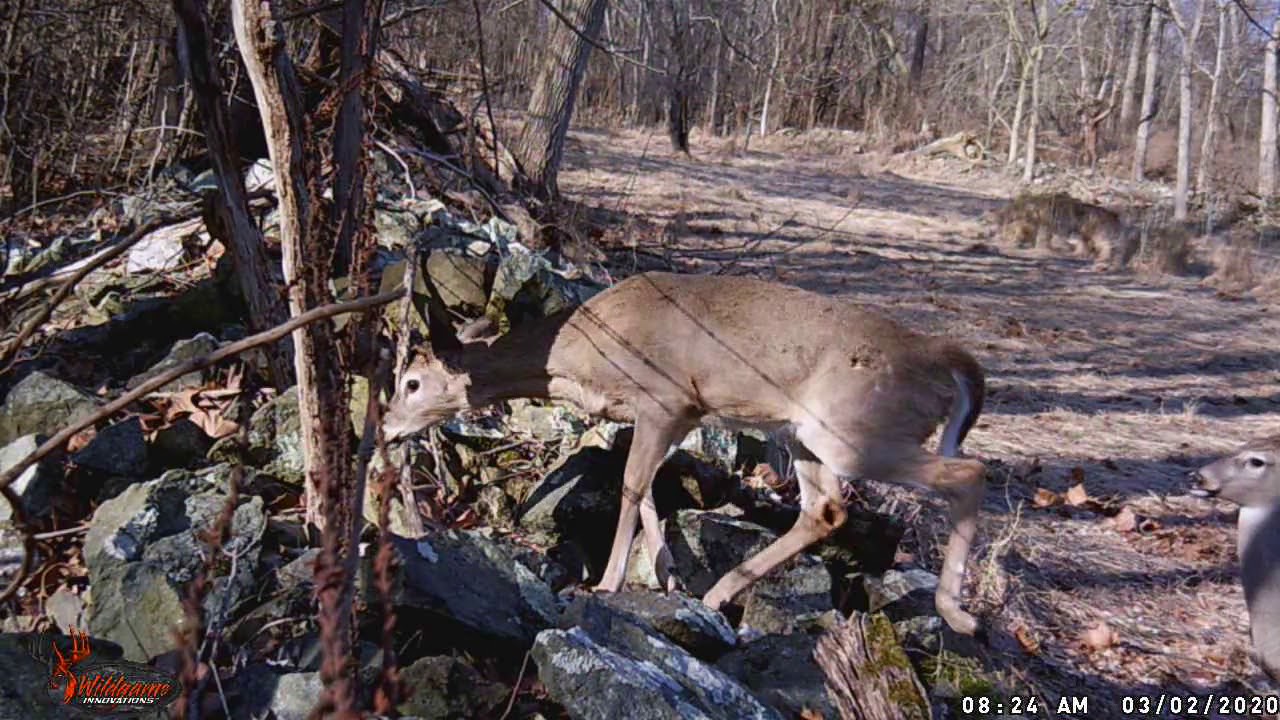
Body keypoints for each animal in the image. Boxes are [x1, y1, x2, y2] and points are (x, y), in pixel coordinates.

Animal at [382, 269, 990, 636]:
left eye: (411, 382)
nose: (386, 428)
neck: (578, 357)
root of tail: (947, 357)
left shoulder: (663, 397)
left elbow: (631, 486)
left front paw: (607, 583)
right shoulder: (681, 414)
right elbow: (650, 486)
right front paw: (669, 575)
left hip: (856, 433)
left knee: (969, 470)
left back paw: (957, 614)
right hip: (804, 435)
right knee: (826, 509)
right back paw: (718, 593)